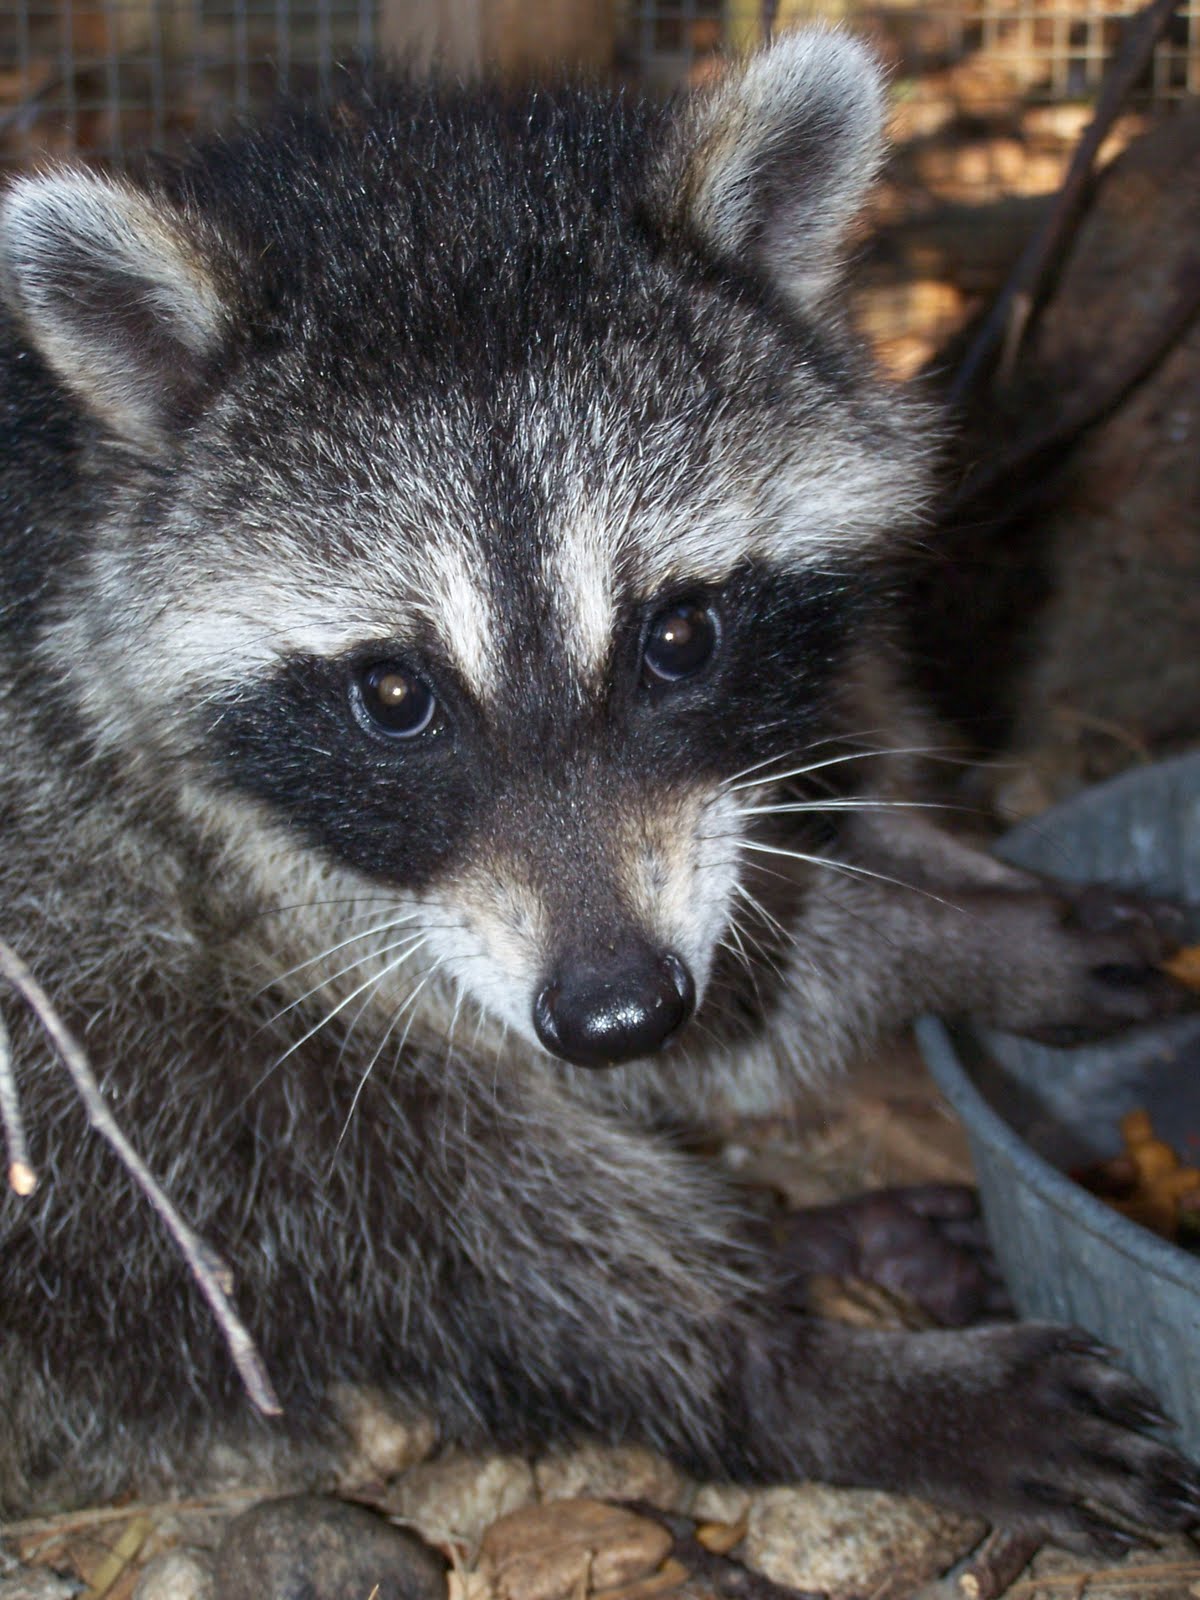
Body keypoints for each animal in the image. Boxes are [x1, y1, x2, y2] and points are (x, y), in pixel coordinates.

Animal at [0, 29, 1196, 1542]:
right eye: (395, 694)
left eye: (679, 635)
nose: (619, 1011)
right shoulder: (134, 817)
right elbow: (435, 1062)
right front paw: (943, 943)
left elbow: (783, 862)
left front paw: (946, 883)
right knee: (367, 1177)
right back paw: (779, 1364)